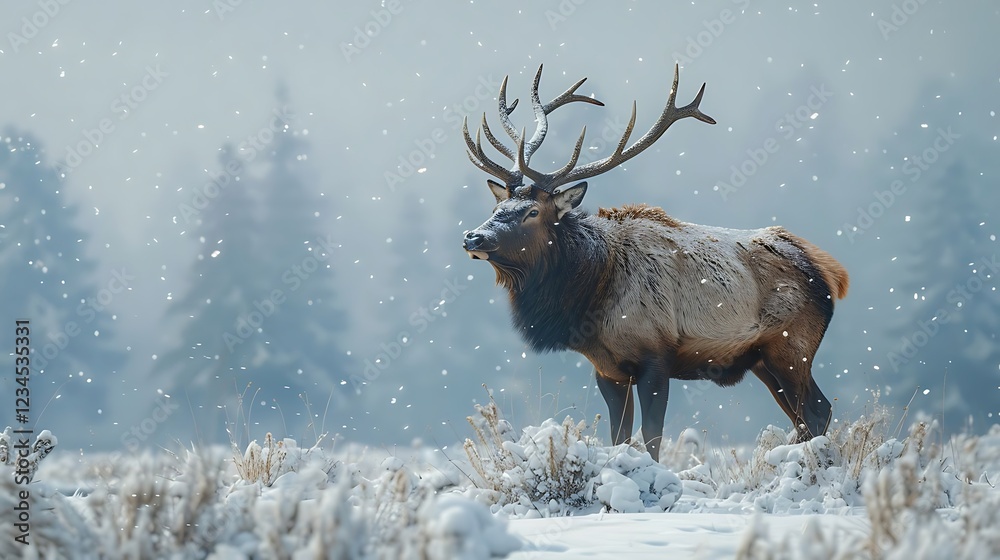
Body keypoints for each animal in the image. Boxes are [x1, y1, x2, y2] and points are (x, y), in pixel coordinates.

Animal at [460, 64, 849, 462]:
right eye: (498, 206)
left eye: (533, 212)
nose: (474, 237)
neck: (590, 296)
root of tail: (830, 273)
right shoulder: (608, 369)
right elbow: (619, 436)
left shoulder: (656, 358)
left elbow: (651, 437)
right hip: (762, 360)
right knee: (805, 416)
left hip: (791, 346)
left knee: (818, 411)